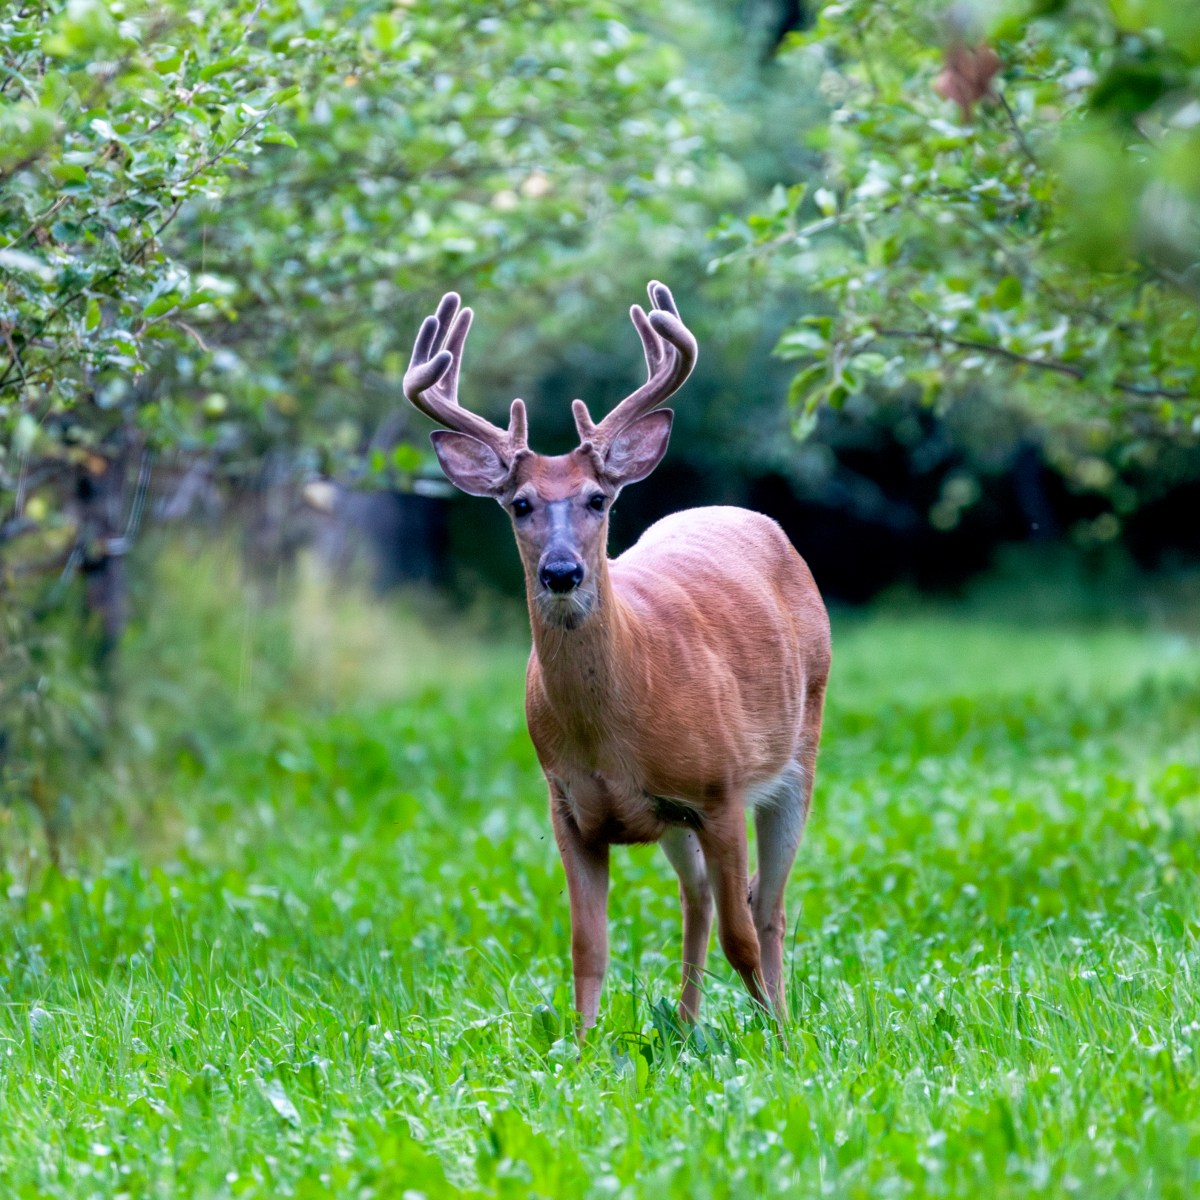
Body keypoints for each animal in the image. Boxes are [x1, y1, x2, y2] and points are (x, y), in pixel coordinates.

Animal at [402, 282, 831, 1029]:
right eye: (519, 504)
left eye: (597, 498)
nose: (562, 572)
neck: (615, 721)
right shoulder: (570, 807)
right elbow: (587, 946)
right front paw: (581, 1046)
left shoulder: (719, 790)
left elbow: (742, 936)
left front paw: (774, 1042)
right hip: (671, 821)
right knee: (699, 897)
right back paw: (686, 1024)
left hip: (799, 750)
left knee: (765, 905)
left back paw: (777, 1020)